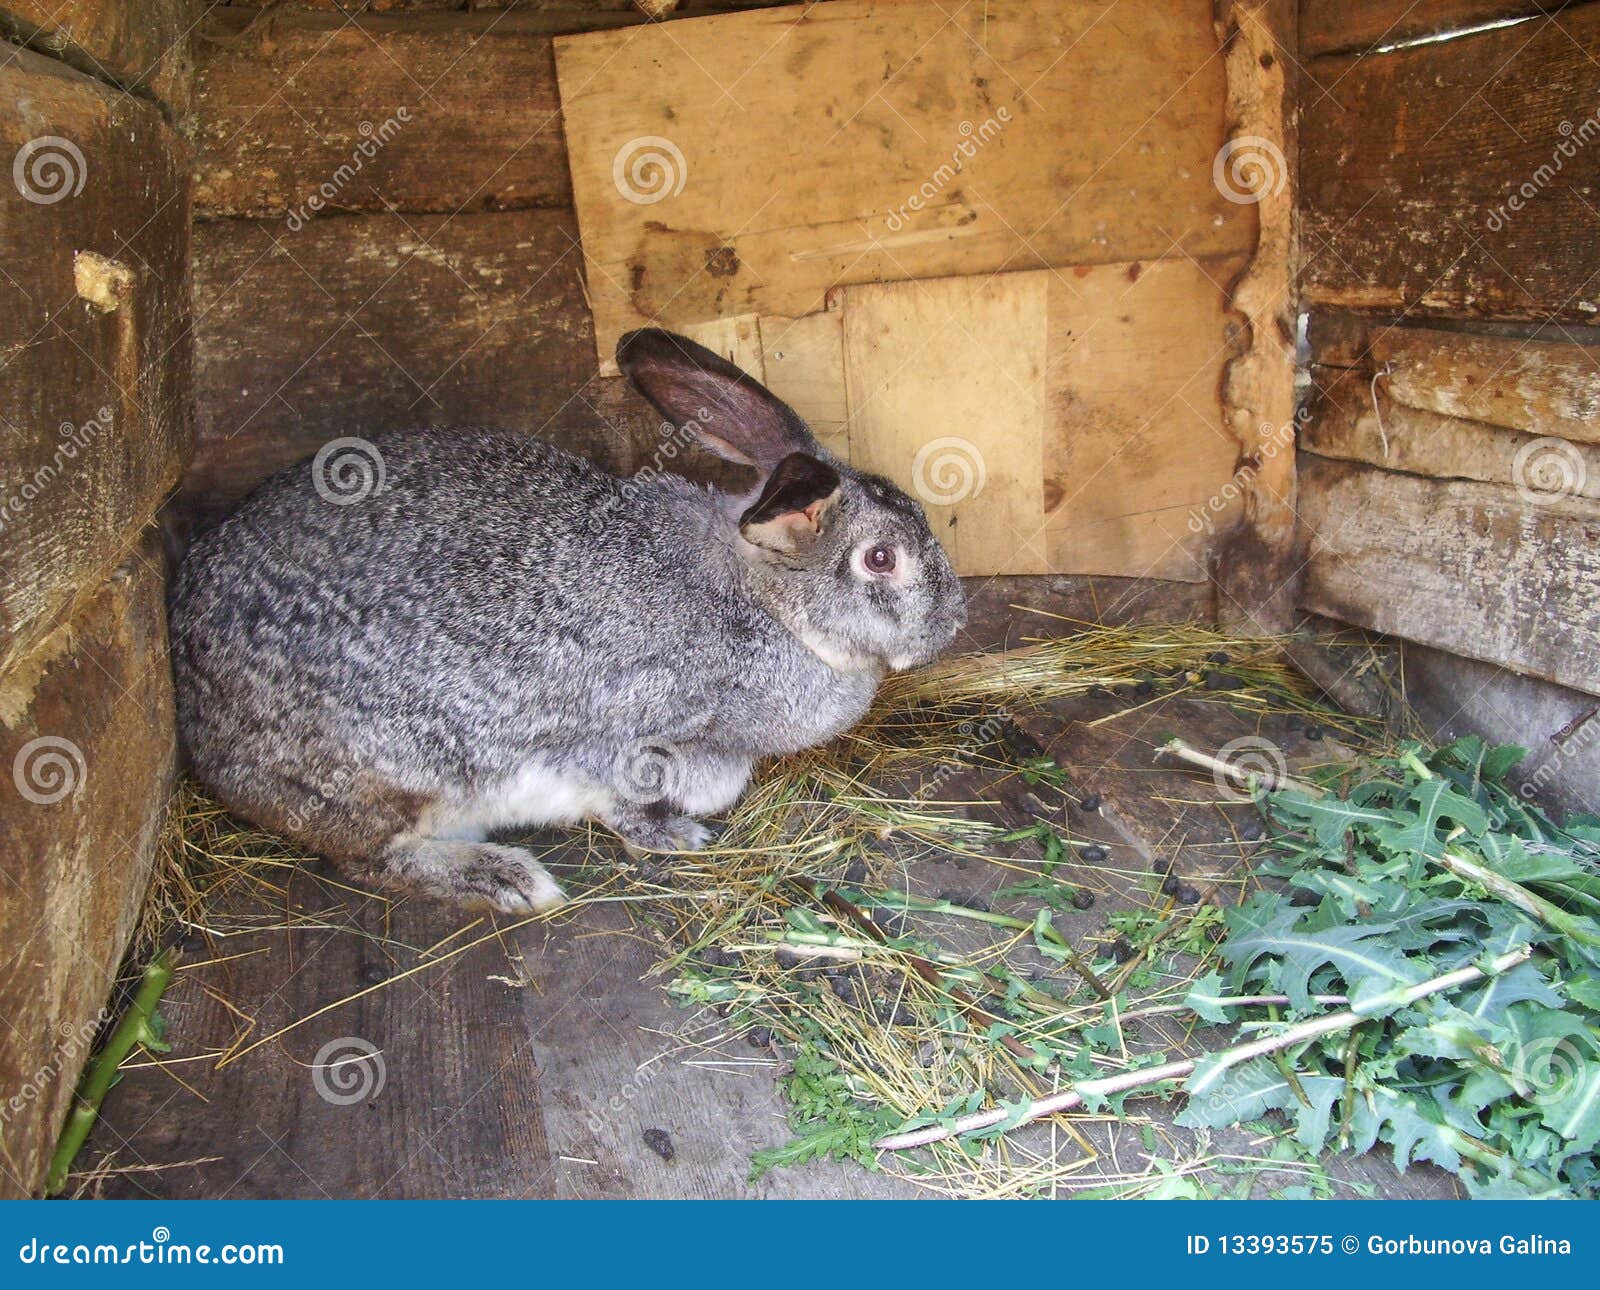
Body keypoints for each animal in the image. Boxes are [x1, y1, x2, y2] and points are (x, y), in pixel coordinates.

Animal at [169, 329, 966, 914]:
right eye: (881, 559)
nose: (952, 622)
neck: (762, 599)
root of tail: (199, 720)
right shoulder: (626, 734)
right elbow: (622, 792)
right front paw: (673, 835)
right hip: (395, 775)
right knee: (371, 859)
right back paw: (507, 879)